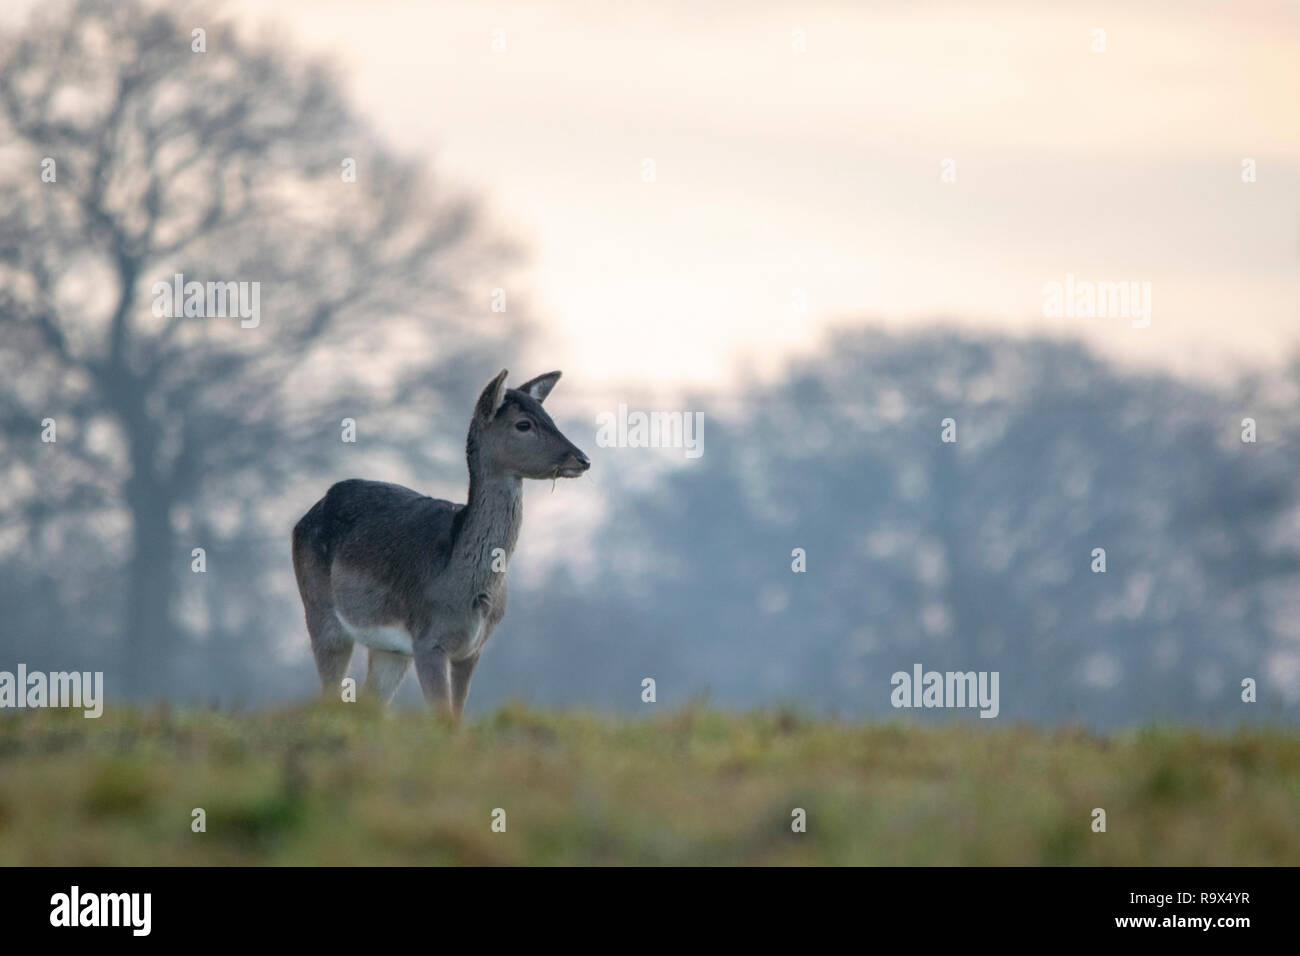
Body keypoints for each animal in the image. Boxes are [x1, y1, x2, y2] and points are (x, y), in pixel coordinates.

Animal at [291, 369, 589, 721]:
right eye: (523, 424)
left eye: (549, 416)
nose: (582, 458)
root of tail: (306, 516)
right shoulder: (428, 642)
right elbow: (442, 714)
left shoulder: (472, 649)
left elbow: (457, 716)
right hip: (321, 611)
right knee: (328, 689)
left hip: (388, 649)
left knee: (371, 698)